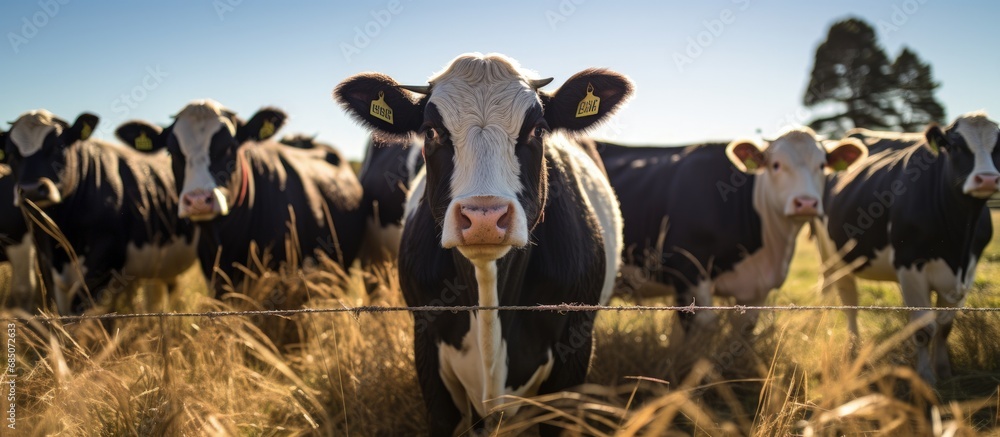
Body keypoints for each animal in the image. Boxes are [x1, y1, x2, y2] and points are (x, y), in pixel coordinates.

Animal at [4, 110, 198, 314]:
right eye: (9, 153)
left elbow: (79, 304)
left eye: (59, 145)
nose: (32, 189)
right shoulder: (44, 259)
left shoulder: (106, 256)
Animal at [599, 129, 868, 335]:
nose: (806, 203)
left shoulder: (755, 292)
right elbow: (701, 331)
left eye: (822, 166)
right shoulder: (685, 272)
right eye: (776, 165)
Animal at [815, 111, 999, 385]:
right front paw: (926, 377)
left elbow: (944, 327)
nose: (987, 178)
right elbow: (924, 329)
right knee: (849, 303)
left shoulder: (968, 271)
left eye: (998, 147)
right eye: (955, 146)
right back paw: (853, 350)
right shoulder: (911, 265)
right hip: (833, 254)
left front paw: (943, 370)